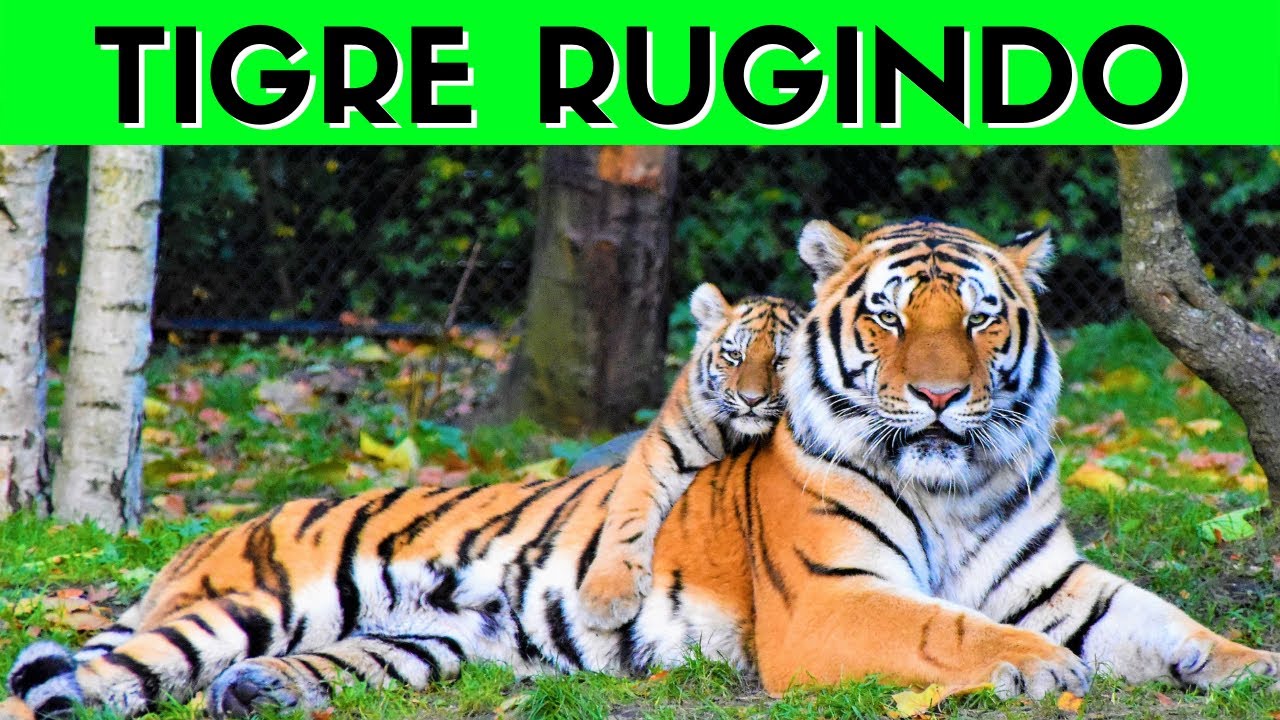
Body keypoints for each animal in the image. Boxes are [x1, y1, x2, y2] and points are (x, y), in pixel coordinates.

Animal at [577, 283, 801, 630]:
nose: (751, 400)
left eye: (781, 360)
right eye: (735, 356)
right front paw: (606, 597)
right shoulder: (658, 453)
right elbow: (628, 516)